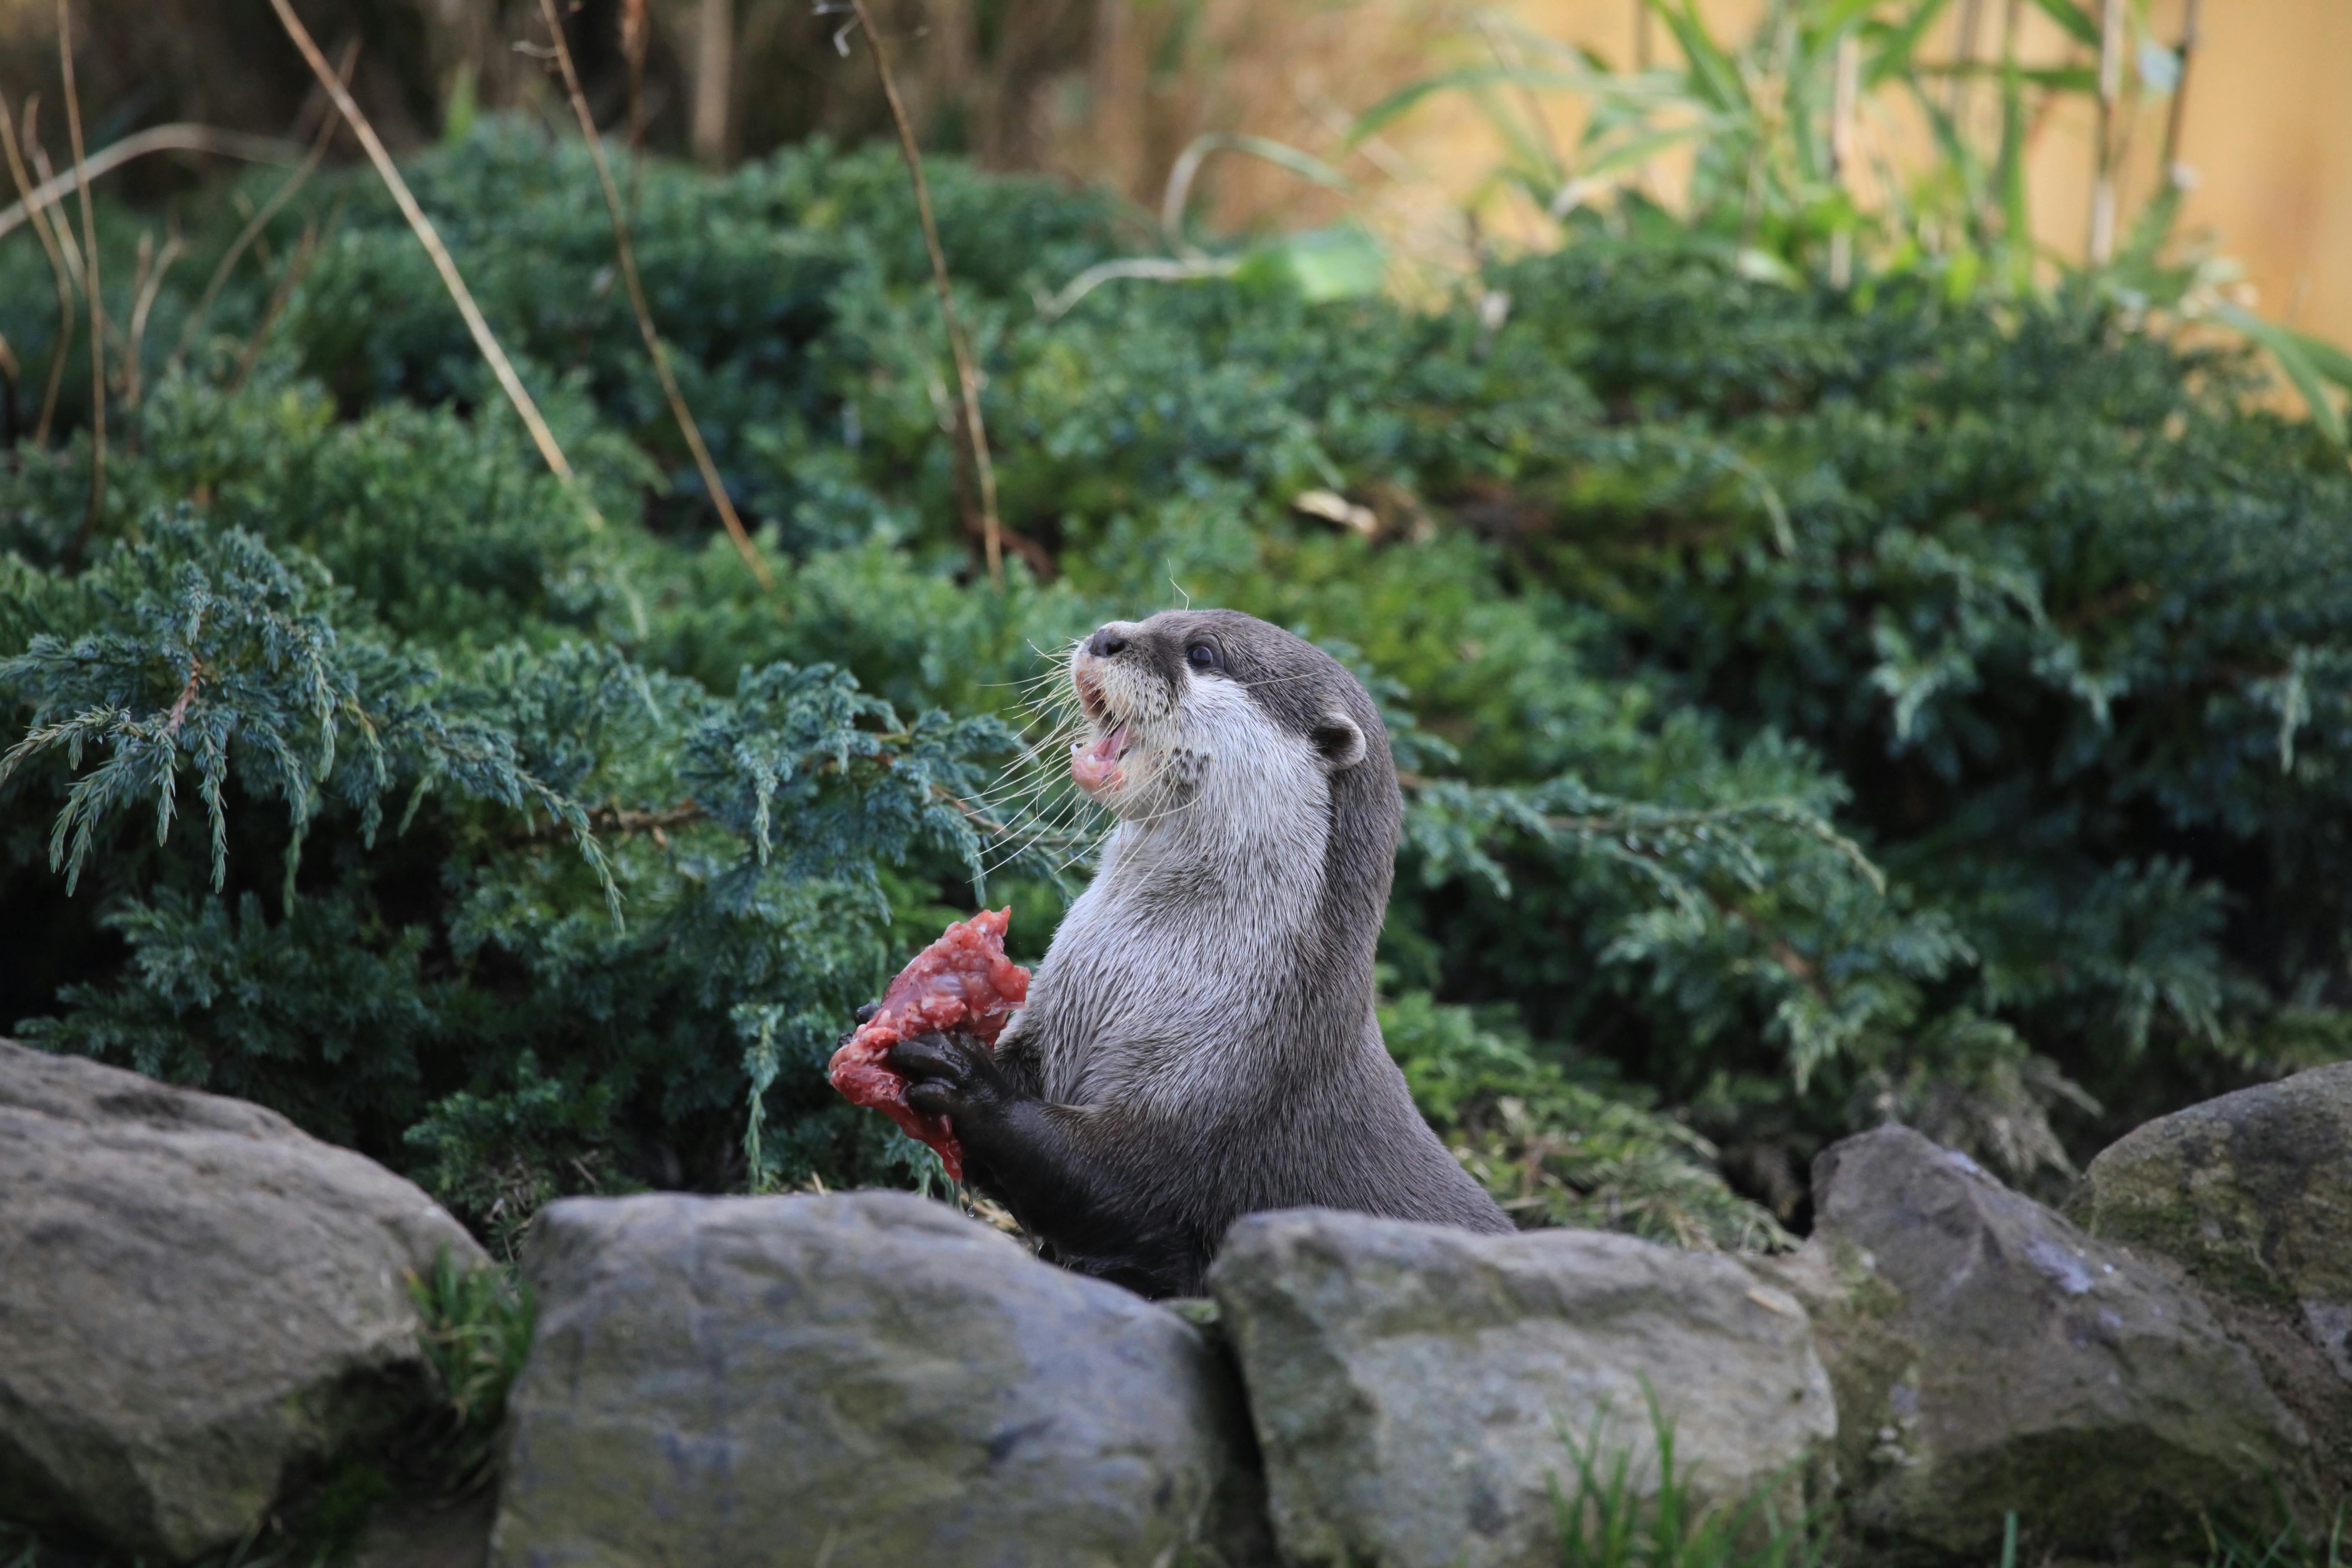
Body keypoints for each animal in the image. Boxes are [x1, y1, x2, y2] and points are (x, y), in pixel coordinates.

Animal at [884, 609, 1513, 1297]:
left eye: (1203, 653)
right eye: (1154, 618)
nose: (1107, 636)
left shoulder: (1230, 1099)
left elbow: (1112, 1183)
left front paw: (969, 1081)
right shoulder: (1054, 1018)